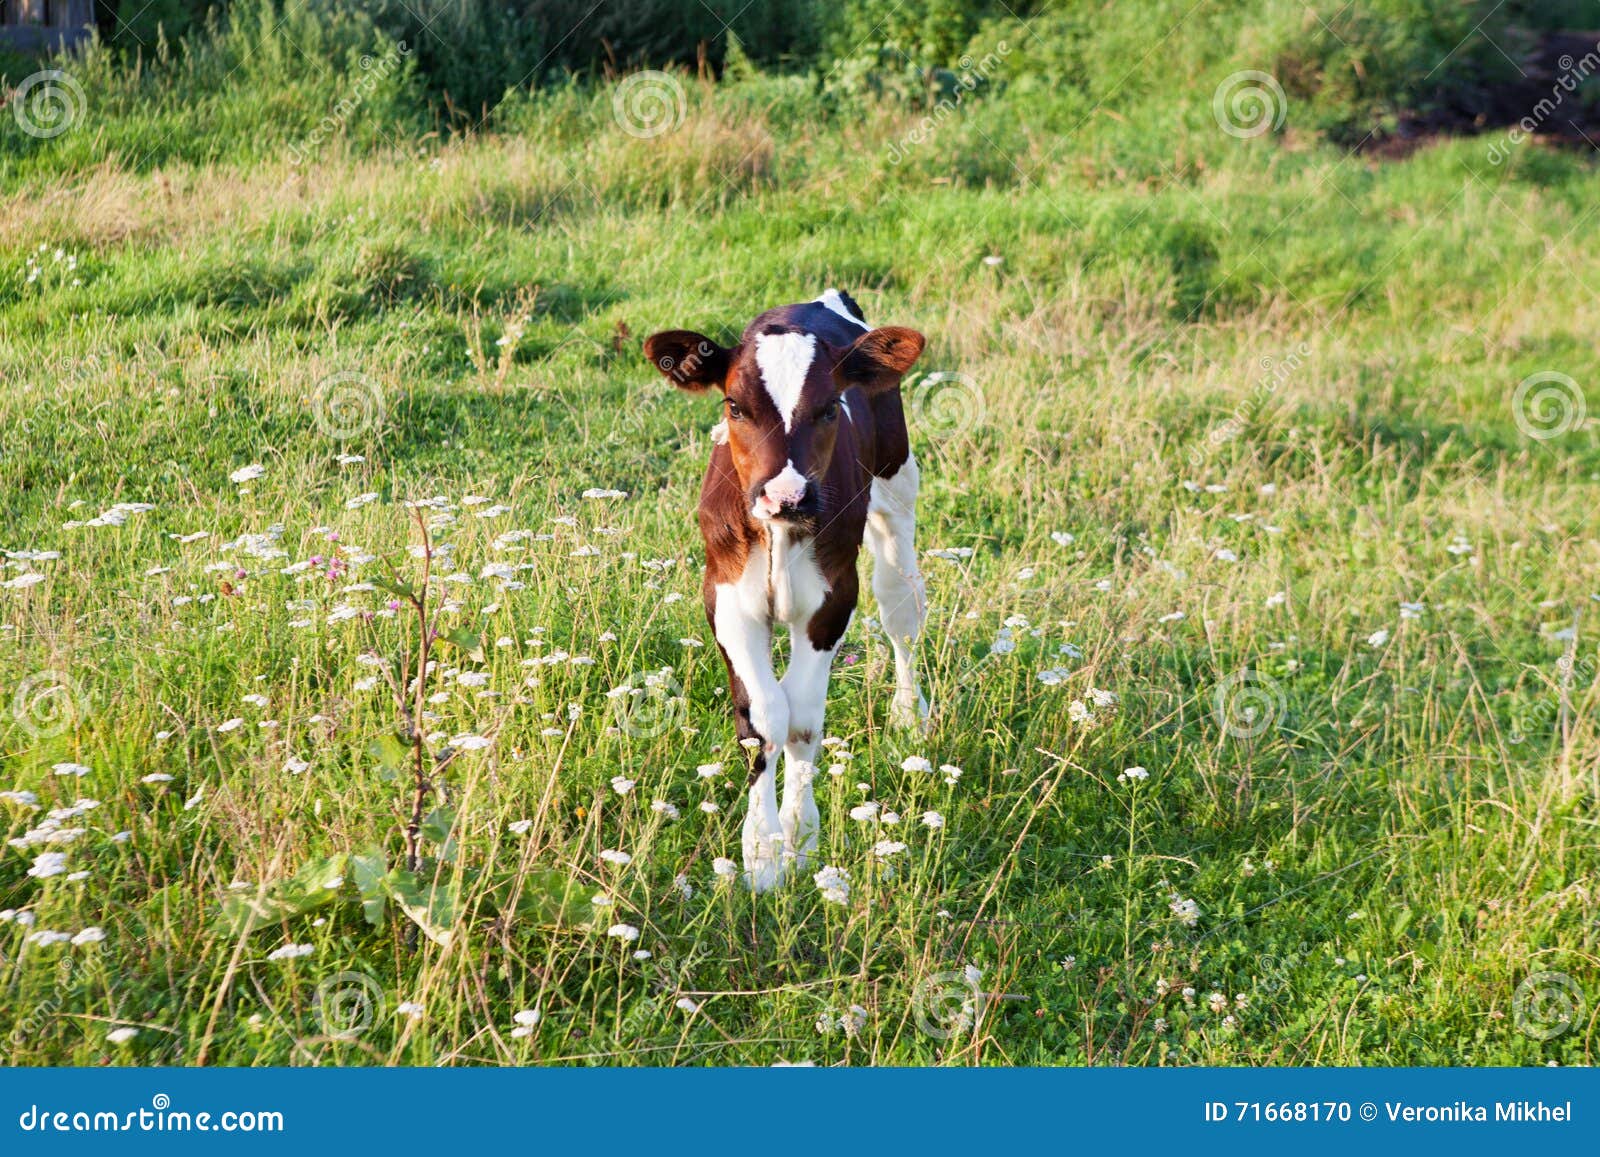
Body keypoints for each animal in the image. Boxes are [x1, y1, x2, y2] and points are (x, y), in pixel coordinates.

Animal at [645, 289, 930, 891]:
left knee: (902, 608)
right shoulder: (727, 600)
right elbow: (764, 719)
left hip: (897, 485)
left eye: (829, 408)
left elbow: (801, 718)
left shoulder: (831, 601)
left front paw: (798, 836)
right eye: (733, 406)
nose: (787, 496)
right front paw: (762, 854)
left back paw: (910, 713)